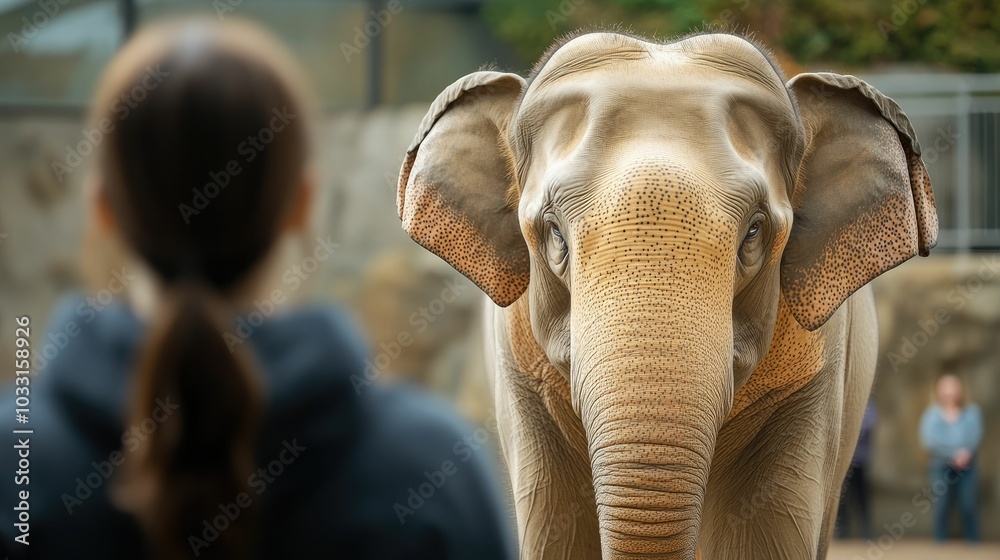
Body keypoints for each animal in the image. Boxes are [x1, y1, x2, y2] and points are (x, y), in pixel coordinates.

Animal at [394, 31, 937, 559]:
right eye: (554, 235)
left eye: (754, 233)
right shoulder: (520, 377)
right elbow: (557, 532)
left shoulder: (813, 373)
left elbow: (762, 536)